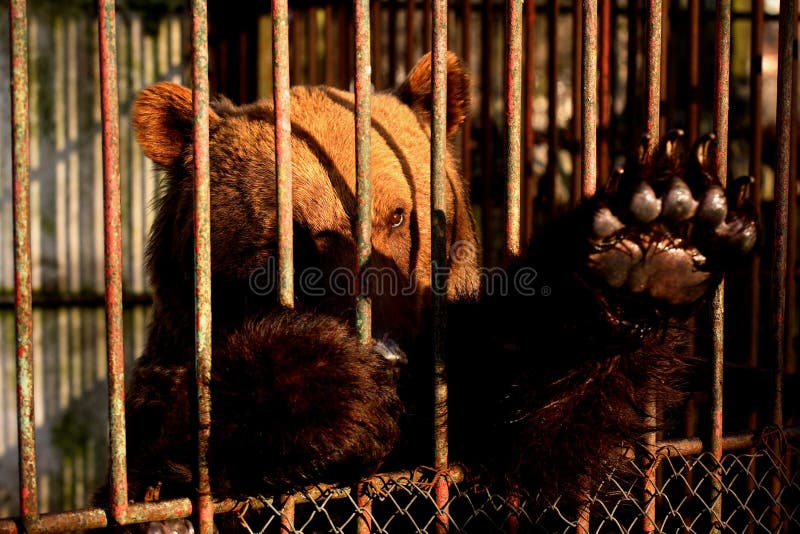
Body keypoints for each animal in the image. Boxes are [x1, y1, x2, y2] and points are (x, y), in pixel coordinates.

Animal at [94, 52, 757, 531]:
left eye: (400, 216)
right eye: (293, 240)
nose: (386, 351)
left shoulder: (457, 402)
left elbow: (540, 422)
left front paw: (655, 241)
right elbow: (165, 459)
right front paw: (334, 385)